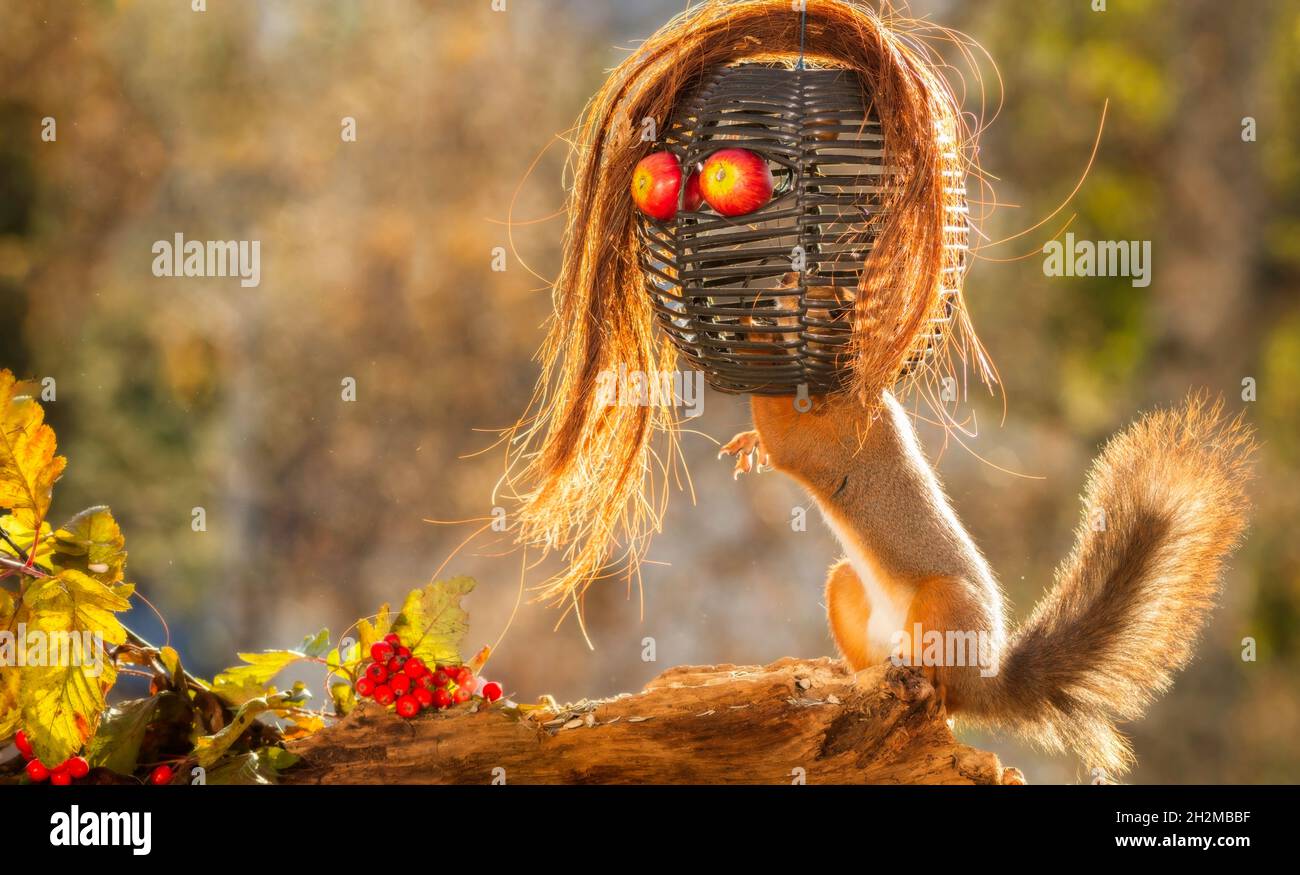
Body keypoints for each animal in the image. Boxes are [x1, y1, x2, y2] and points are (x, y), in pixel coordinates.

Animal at [719, 389, 1255, 775]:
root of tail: (985, 680)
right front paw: (748, 438)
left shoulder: (842, 446)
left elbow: (793, 446)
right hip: (847, 589)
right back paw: (848, 675)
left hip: (946, 607)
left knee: (946, 699)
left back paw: (928, 684)